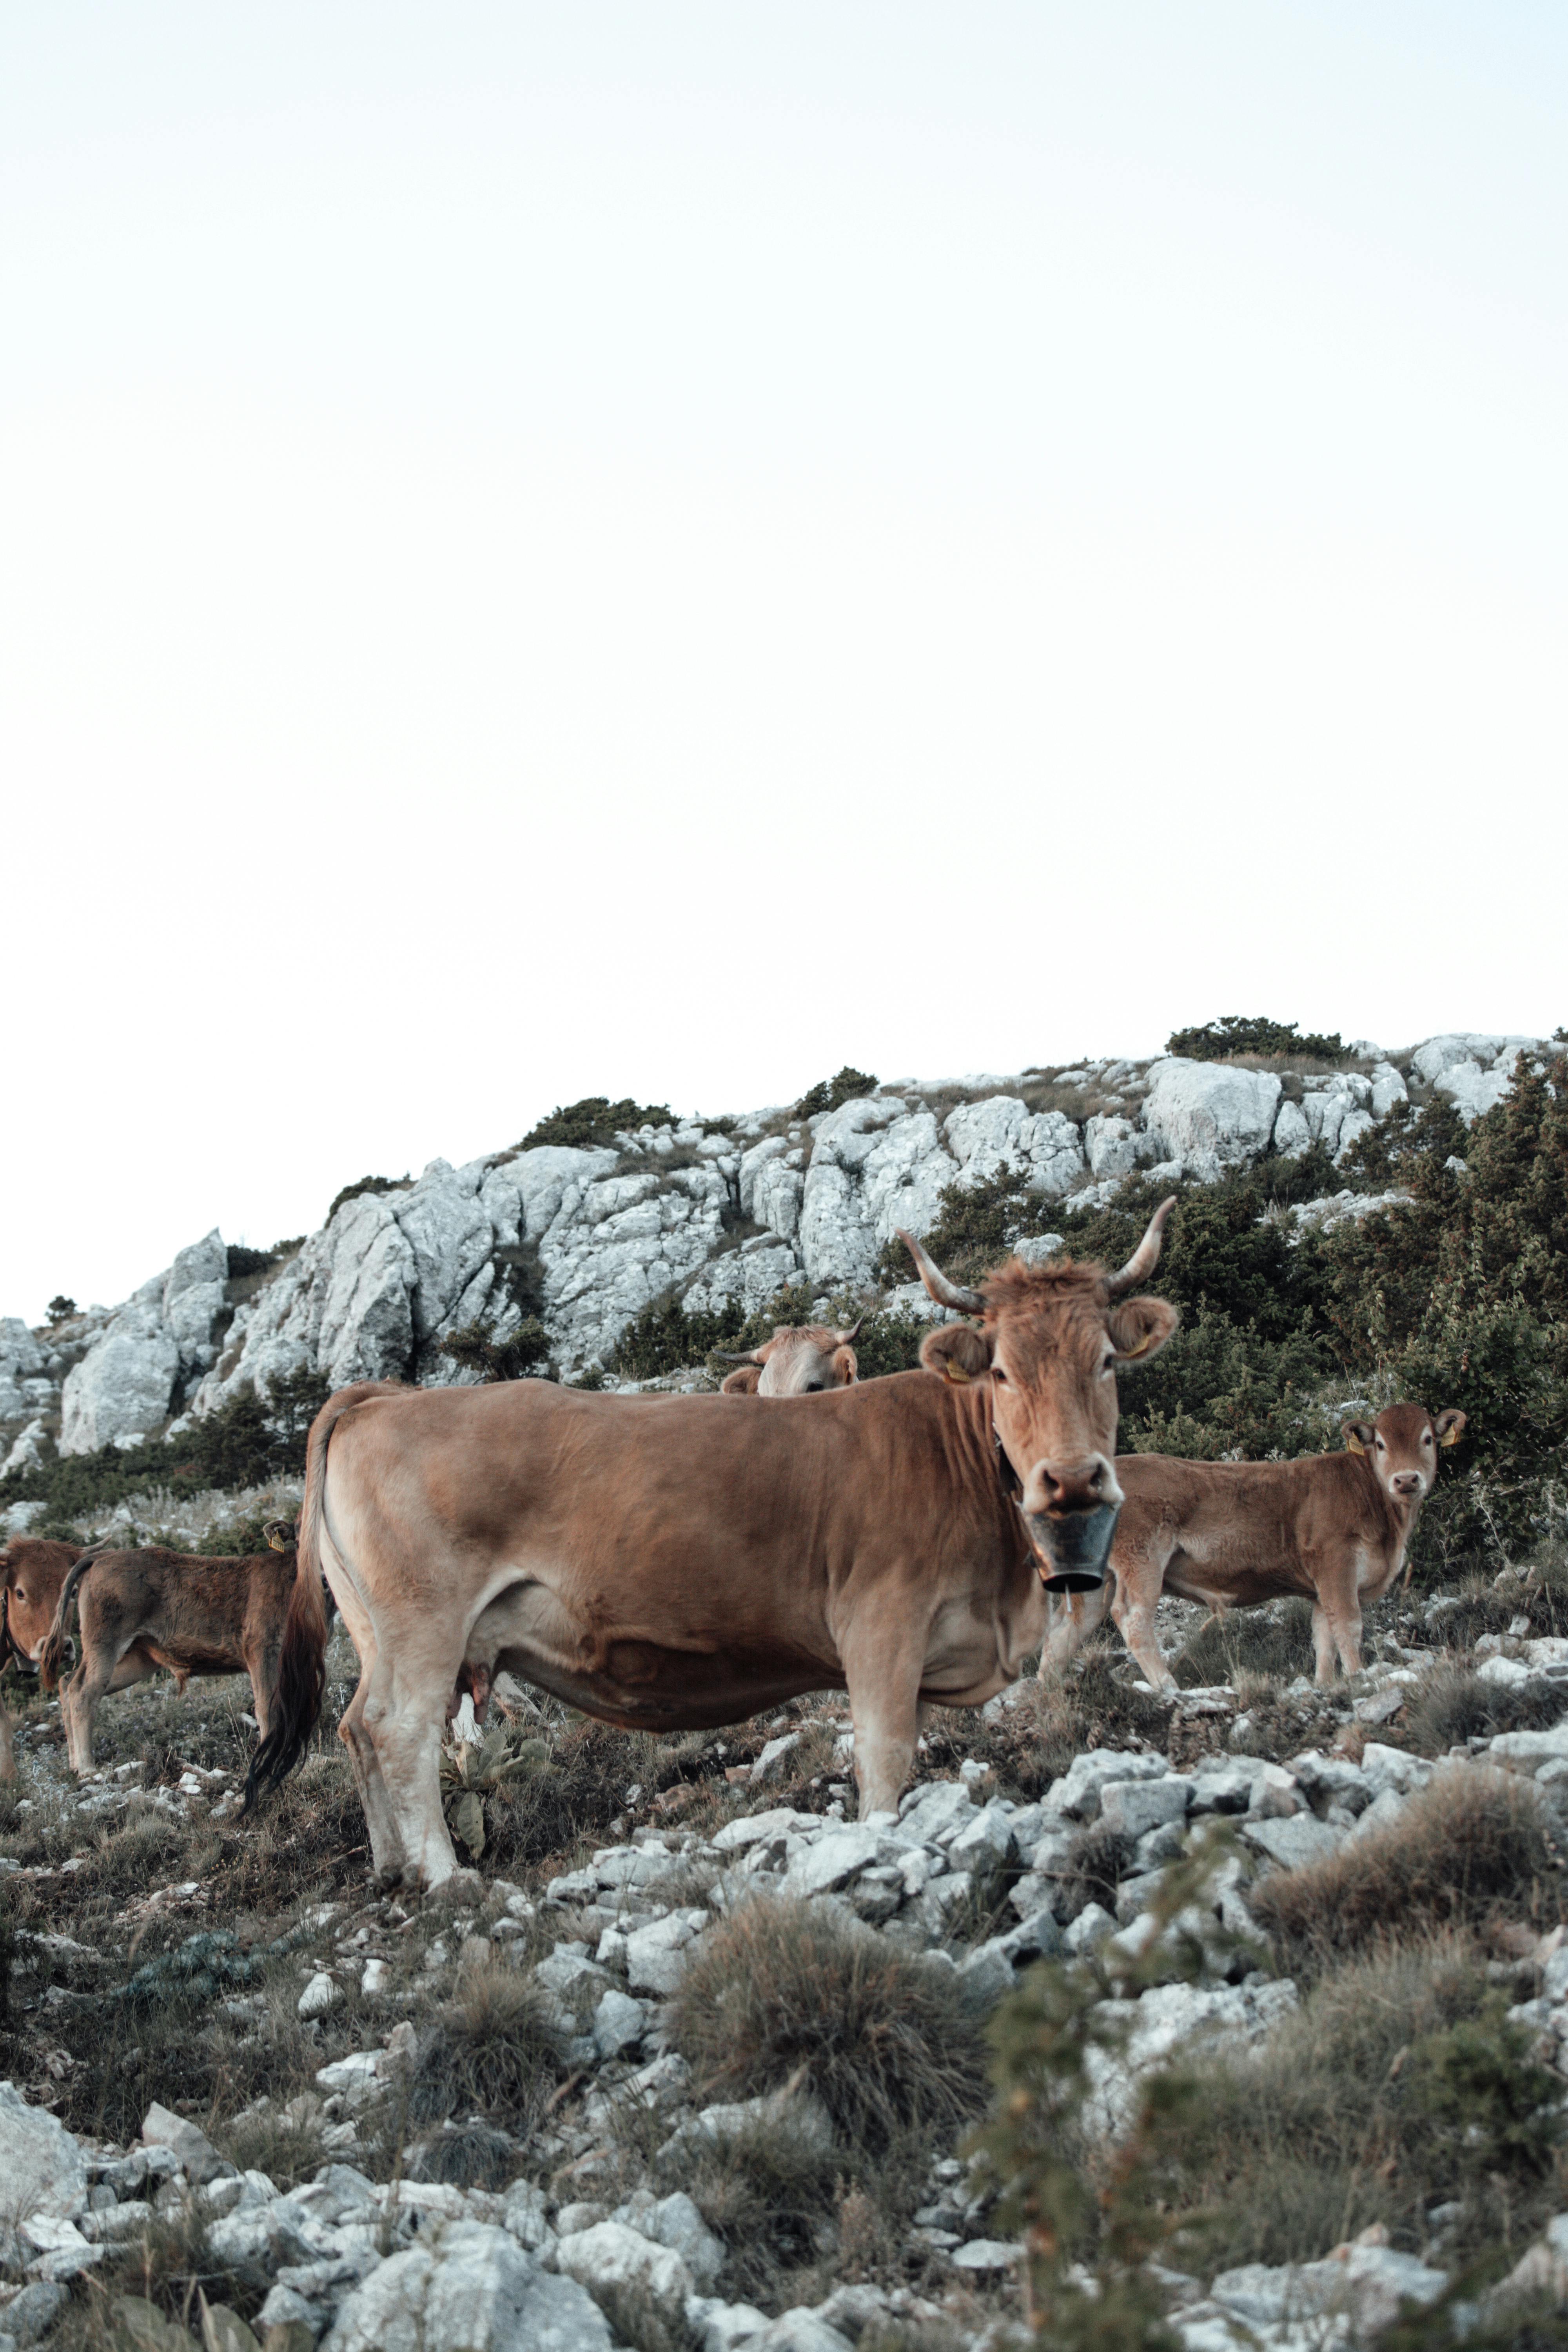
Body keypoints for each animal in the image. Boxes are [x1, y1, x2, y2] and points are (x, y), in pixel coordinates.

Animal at [38, 1523, 300, 1773]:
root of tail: (105, 1556)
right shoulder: (263, 1650)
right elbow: (267, 1710)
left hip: (138, 1658)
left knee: (69, 1682)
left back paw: (74, 1764)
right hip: (104, 1645)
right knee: (83, 1692)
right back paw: (86, 1767)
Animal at [1039, 1403, 1467, 1689]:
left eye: (1427, 1439)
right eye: (1379, 1443)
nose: (1406, 1480)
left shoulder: (1319, 1588)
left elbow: (1323, 1637)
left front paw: (1325, 1685)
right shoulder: (1337, 1566)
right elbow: (1348, 1626)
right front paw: (1358, 1678)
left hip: (1097, 1578)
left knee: (1064, 1632)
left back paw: (1047, 1693)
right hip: (1141, 1562)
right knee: (1132, 1619)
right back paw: (1168, 1689)